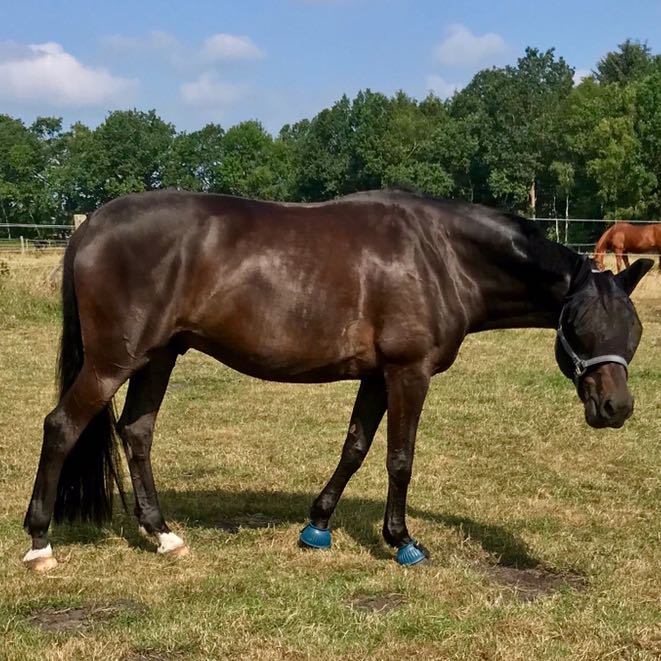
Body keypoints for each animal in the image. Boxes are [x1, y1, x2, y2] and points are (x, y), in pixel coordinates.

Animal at [23, 189, 654, 571]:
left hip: (158, 356)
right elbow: (399, 458)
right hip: (113, 361)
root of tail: (91, 225)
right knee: (61, 426)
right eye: (579, 324)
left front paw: (317, 527)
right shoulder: (408, 372)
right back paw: (40, 542)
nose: (615, 408)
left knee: (137, 432)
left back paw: (163, 534)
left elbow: (355, 447)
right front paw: (403, 542)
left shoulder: (377, 375)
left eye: (634, 329)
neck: (441, 256)